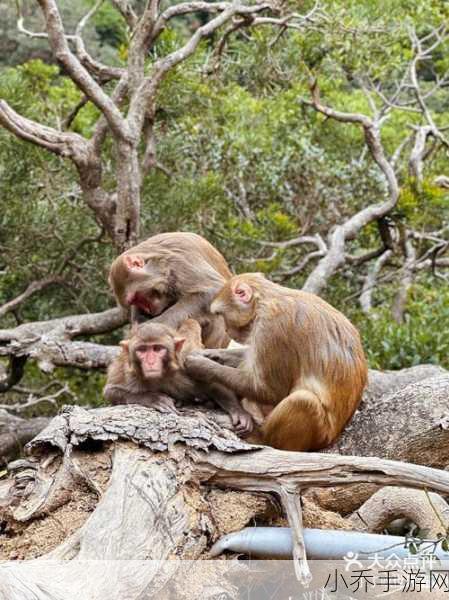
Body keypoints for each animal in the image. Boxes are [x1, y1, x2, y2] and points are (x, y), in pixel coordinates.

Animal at [103, 316, 254, 434]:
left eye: (157, 348)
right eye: (142, 349)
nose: (150, 362)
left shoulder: (184, 363)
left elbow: (211, 382)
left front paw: (238, 411)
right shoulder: (127, 372)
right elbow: (111, 391)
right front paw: (154, 398)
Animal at [184, 274, 366, 452]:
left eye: (221, 314)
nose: (227, 330)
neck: (265, 300)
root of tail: (333, 437)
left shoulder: (274, 327)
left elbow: (270, 391)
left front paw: (201, 366)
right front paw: (209, 354)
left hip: (320, 434)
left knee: (302, 401)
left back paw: (259, 437)